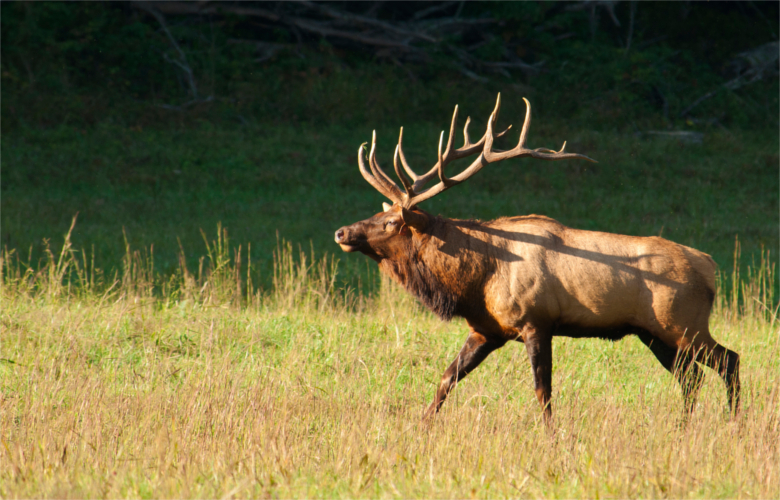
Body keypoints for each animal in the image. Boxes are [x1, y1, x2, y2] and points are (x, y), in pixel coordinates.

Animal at [334, 94, 740, 424]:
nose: (341, 232)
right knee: (692, 377)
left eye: (389, 221)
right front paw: (420, 424)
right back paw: (683, 427)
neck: (477, 280)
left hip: (683, 324)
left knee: (728, 360)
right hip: (654, 333)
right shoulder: (486, 329)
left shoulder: (536, 321)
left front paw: (551, 437)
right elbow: (447, 378)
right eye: (379, 212)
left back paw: (734, 422)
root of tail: (710, 266)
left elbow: (542, 391)